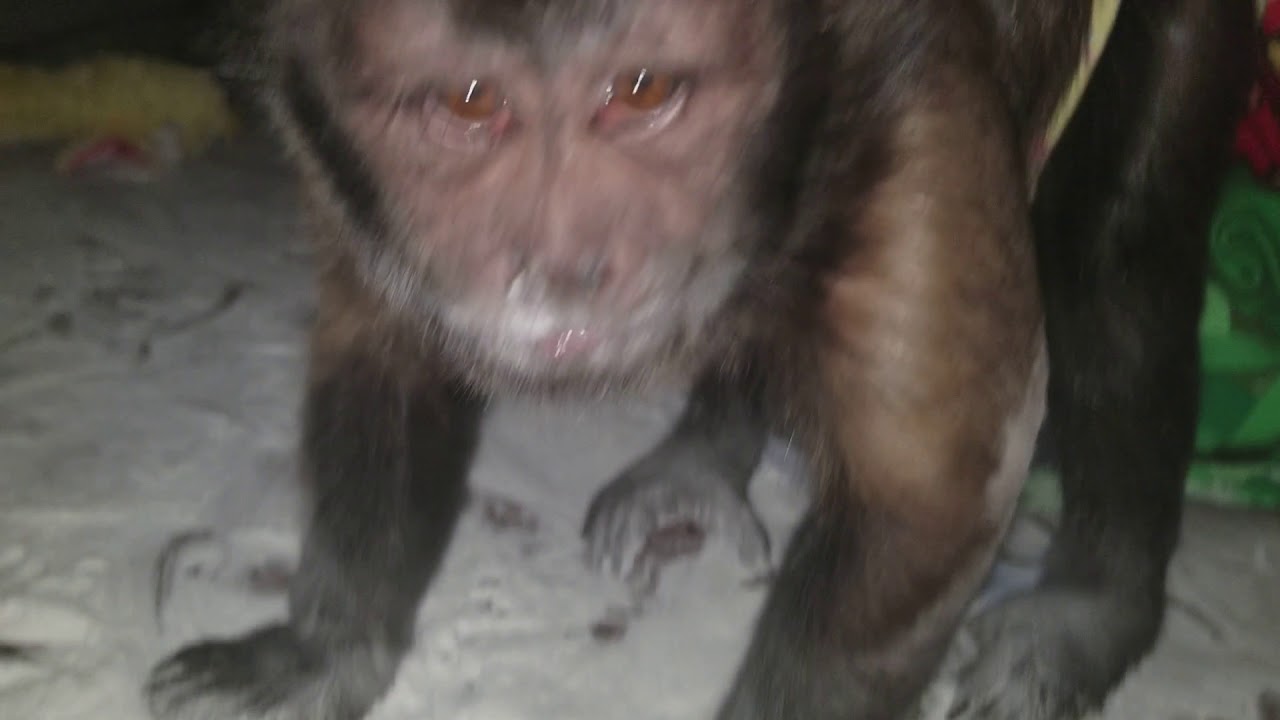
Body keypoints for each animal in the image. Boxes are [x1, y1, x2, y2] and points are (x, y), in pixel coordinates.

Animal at [142, 0, 1257, 718]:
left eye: (644, 91)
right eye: (466, 105)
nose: (566, 261)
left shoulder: (914, 96)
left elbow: (932, 488)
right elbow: (385, 353)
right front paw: (319, 653)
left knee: (1116, 259)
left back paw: (1087, 615)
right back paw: (700, 461)